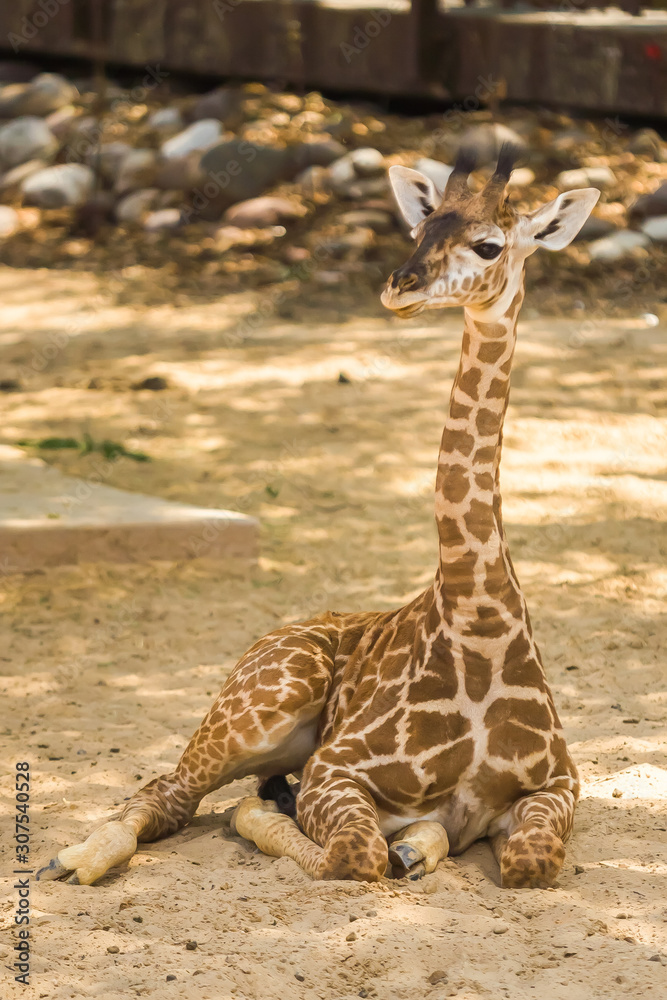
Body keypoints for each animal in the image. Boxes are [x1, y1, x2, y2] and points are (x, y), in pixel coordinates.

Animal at [37, 145, 599, 890]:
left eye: (488, 244)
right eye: (419, 228)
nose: (400, 286)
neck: (479, 619)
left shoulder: (557, 784)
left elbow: (529, 860)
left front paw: (419, 842)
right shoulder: (334, 767)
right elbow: (352, 854)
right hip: (263, 704)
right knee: (172, 792)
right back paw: (76, 859)